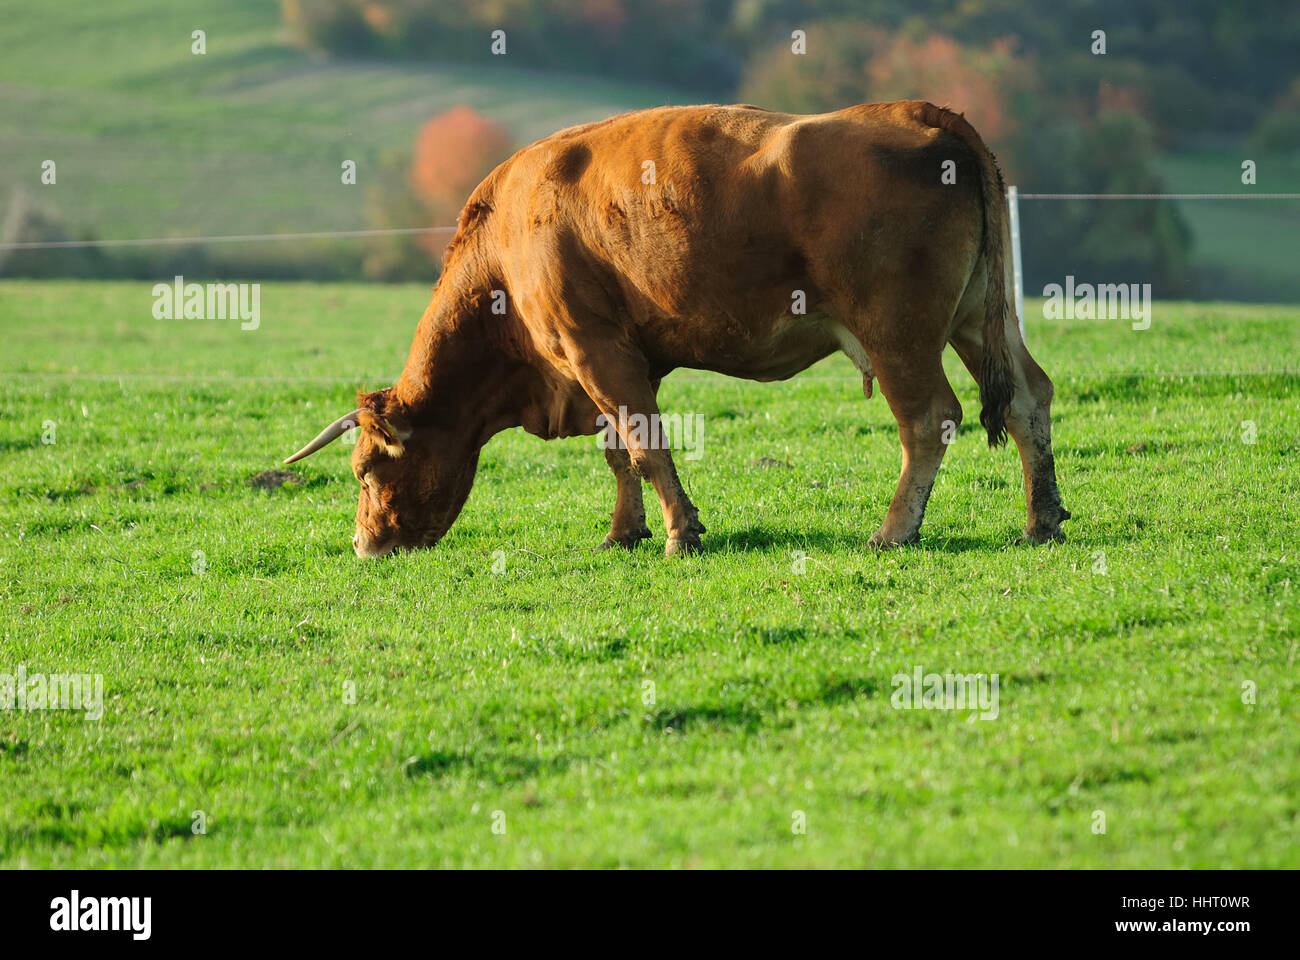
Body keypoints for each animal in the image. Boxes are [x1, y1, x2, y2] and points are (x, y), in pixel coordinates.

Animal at [284, 101, 1069, 558]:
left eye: (366, 469)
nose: (363, 546)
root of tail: (914, 112)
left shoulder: (594, 348)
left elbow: (645, 445)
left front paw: (677, 534)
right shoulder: (614, 359)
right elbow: (620, 453)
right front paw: (622, 532)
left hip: (897, 331)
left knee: (928, 420)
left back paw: (894, 529)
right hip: (980, 319)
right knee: (1029, 399)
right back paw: (1042, 518)